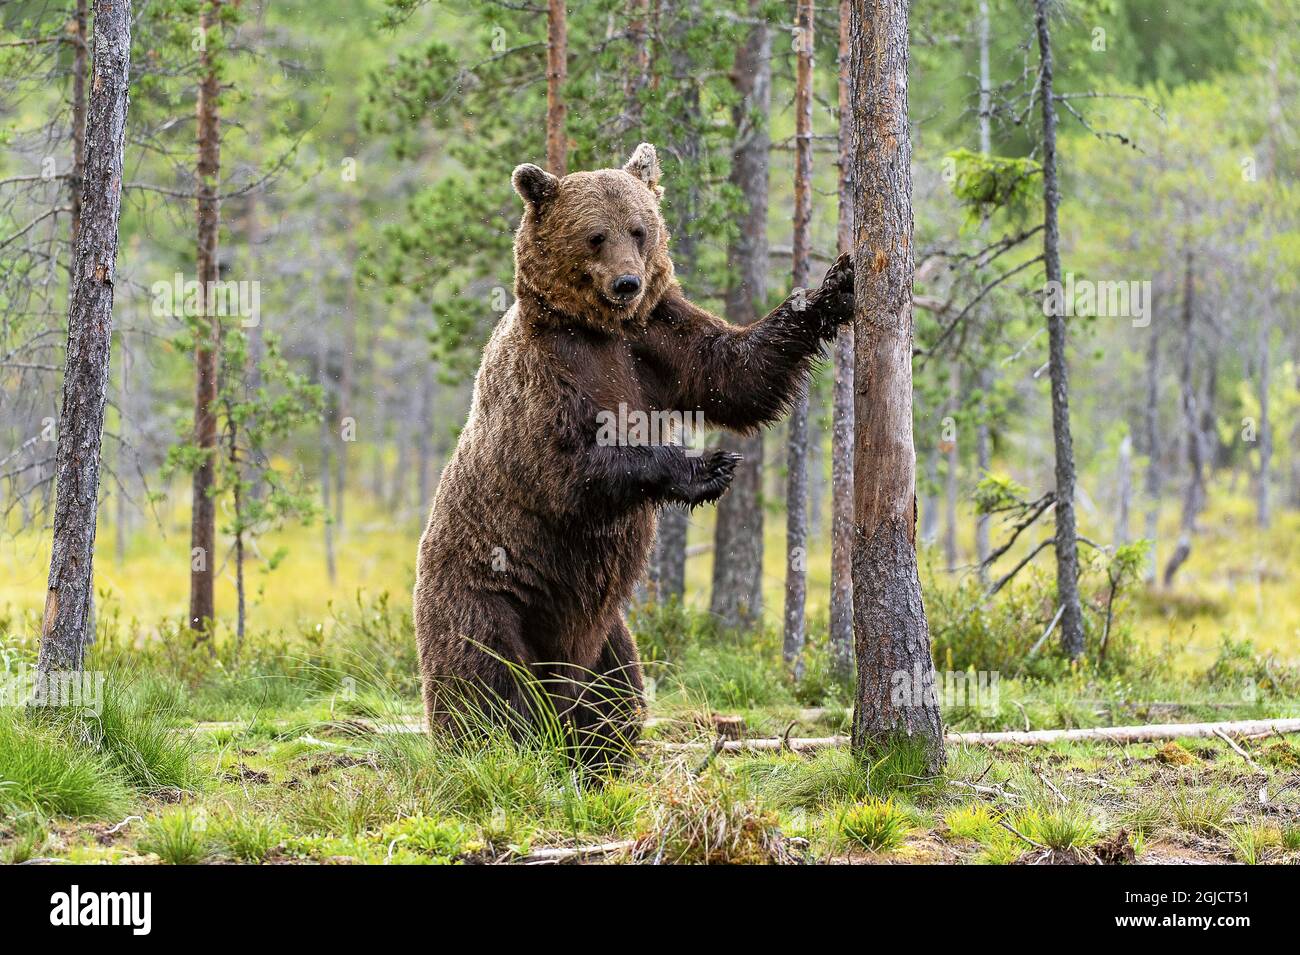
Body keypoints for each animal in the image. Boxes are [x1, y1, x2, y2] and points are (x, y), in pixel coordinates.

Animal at [414, 142, 854, 768]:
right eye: (595, 235)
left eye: (640, 230)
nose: (627, 282)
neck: (598, 327)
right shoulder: (550, 374)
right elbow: (570, 469)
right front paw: (705, 466)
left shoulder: (658, 338)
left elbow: (734, 372)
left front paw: (830, 289)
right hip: (489, 591)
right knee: (486, 682)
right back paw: (497, 748)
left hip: (607, 633)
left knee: (617, 692)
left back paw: (594, 754)